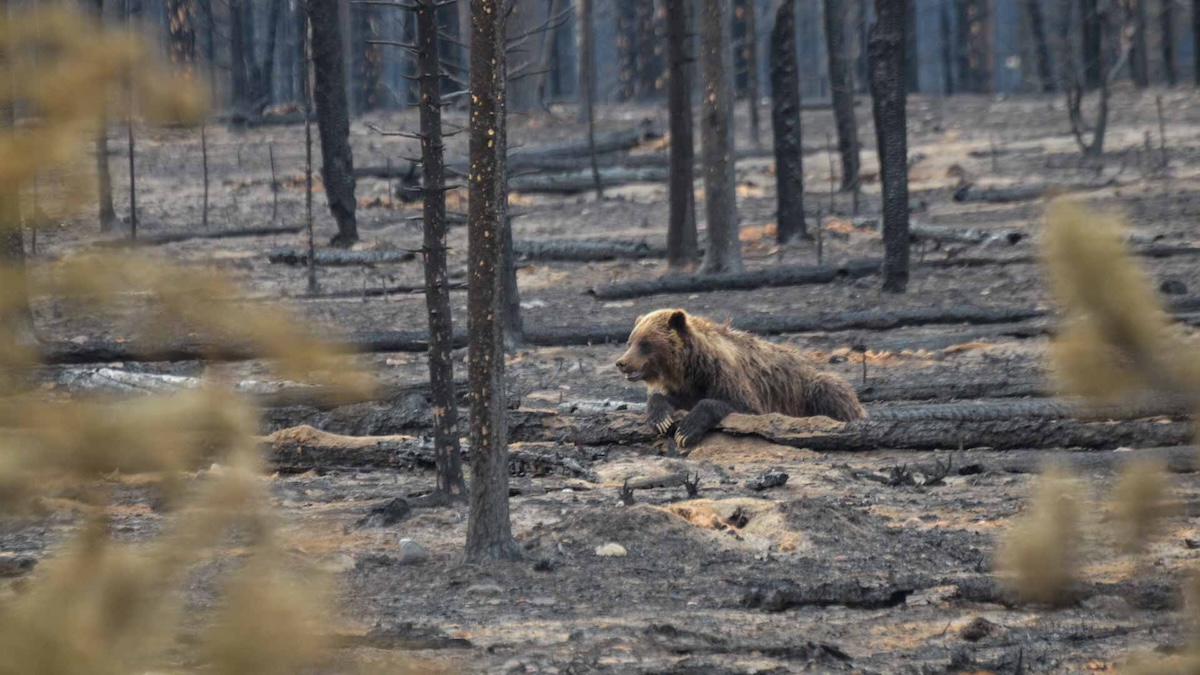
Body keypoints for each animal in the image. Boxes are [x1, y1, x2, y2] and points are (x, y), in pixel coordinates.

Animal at [615, 308, 866, 447]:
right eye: (630, 341)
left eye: (645, 343)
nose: (621, 362)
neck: (690, 368)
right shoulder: (683, 387)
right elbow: (665, 399)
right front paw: (661, 419)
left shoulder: (726, 377)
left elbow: (738, 405)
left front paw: (686, 431)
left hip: (811, 387)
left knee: (829, 389)